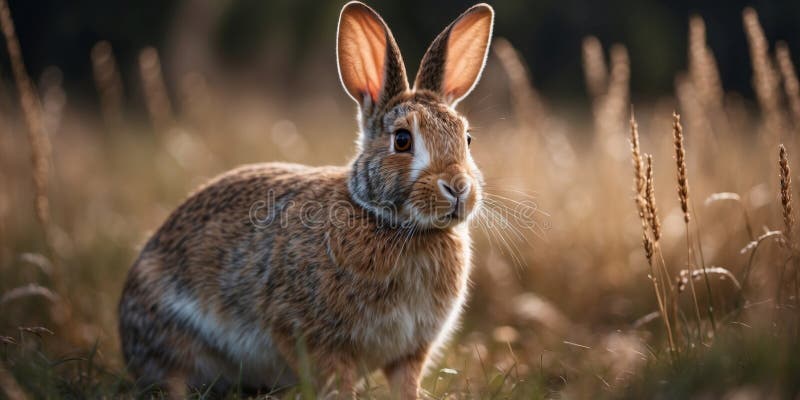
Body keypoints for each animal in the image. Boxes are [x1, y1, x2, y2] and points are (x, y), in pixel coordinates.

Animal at [118, 1, 494, 398]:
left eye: (467, 139)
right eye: (403, 140)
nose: (458, 187)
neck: (396, 225)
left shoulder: (410, 350)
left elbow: (405, 382)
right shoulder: (311, 336)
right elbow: (334, 379)